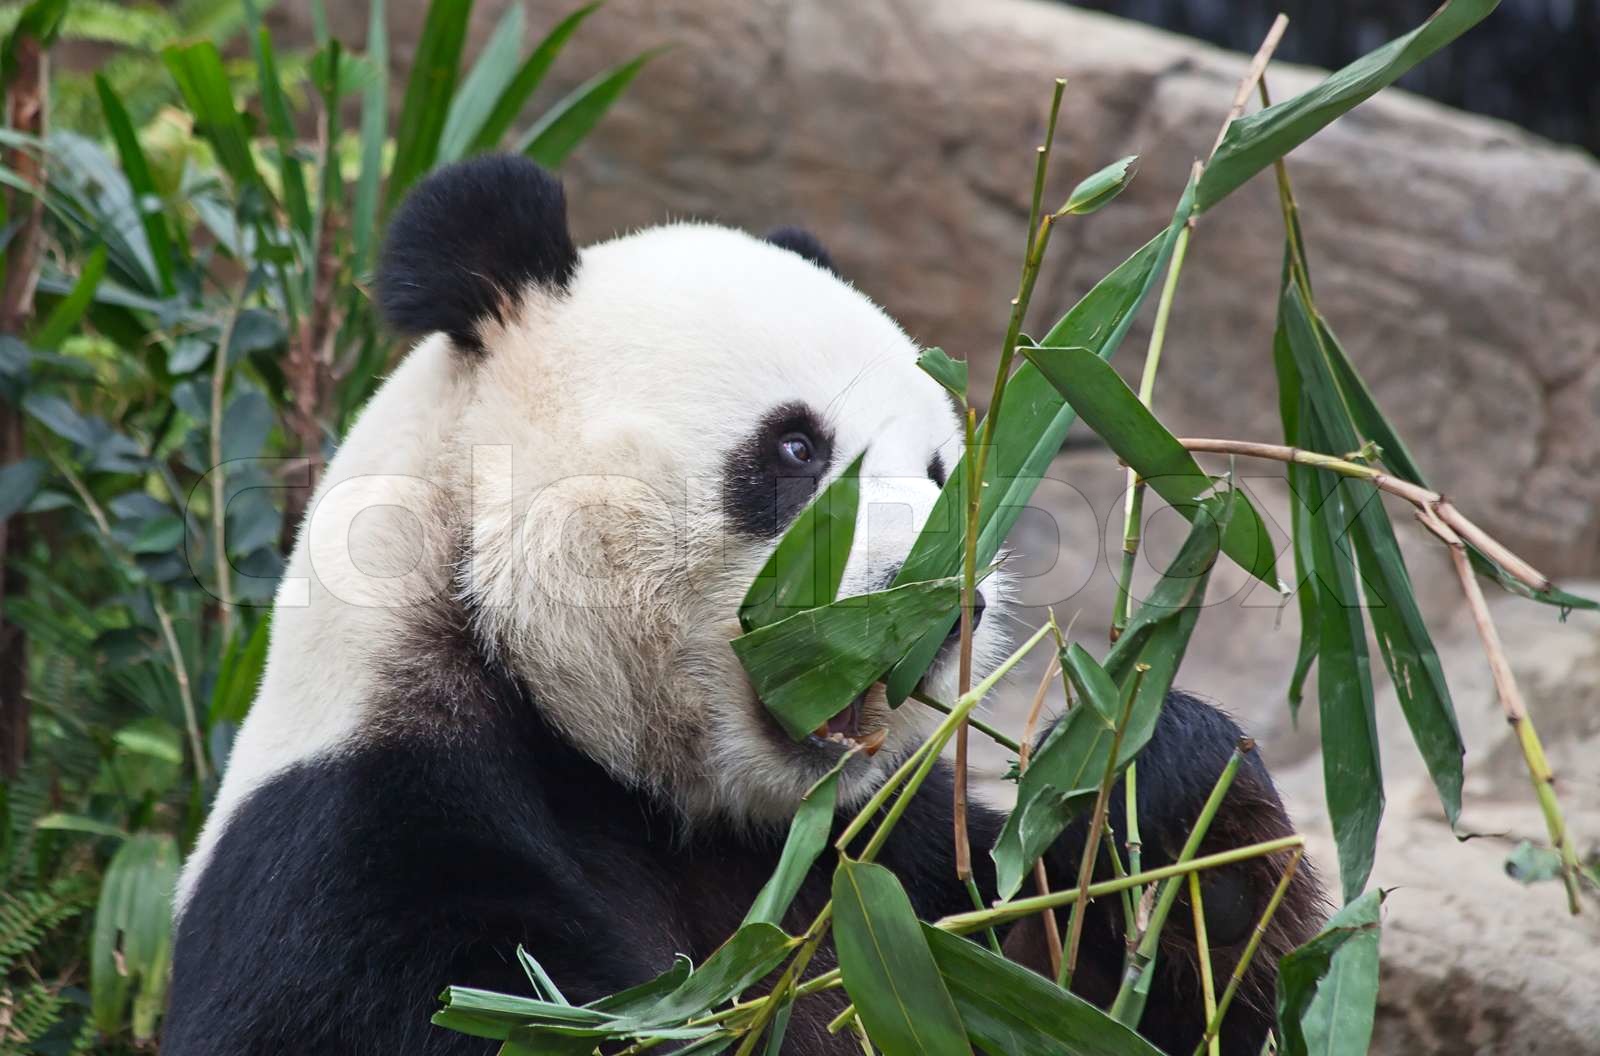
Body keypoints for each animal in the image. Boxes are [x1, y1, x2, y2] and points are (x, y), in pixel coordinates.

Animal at [164, 155, 1320, 1056]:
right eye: (798, 450)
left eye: (942, 474)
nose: (940, 611)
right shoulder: (355, 854)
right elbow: (498, 1011)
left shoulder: (877, 872)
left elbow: (1080, 991)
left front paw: (1166, 775)